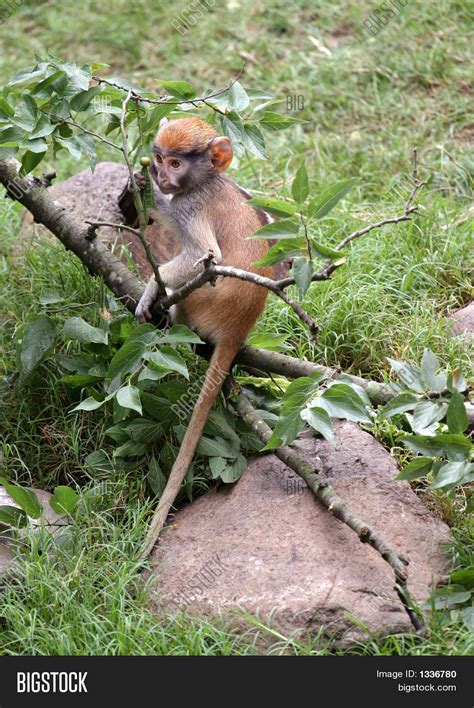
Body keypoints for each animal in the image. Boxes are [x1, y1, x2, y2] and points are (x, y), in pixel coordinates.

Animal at [135, 116, 272, 556]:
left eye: (176, 162)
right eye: (160, 157)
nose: (161, 174)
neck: (208, 180)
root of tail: (239, 326)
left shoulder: (189, 207)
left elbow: (203, 256)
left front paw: (149, 290)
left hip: (203, 303)